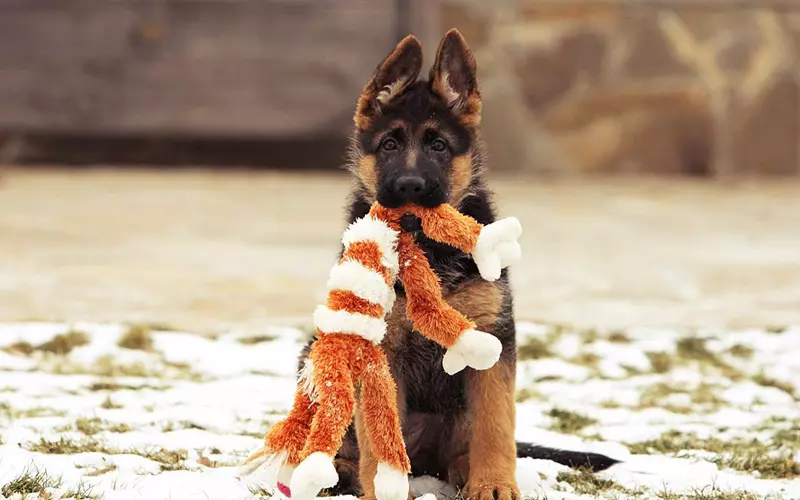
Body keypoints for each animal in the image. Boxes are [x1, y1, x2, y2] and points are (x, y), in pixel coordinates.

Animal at [300, 29, 620, 500]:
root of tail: (426, 458)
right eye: (389, 144)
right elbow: (378, 434)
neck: (428, 251)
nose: (410, 186)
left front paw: (493, 484)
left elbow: (495, 423)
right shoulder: (381, 348)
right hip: (318, 352)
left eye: (438, 146)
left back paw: (464, 470)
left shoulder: (493, 339)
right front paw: (382, 488)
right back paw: (341, 469)